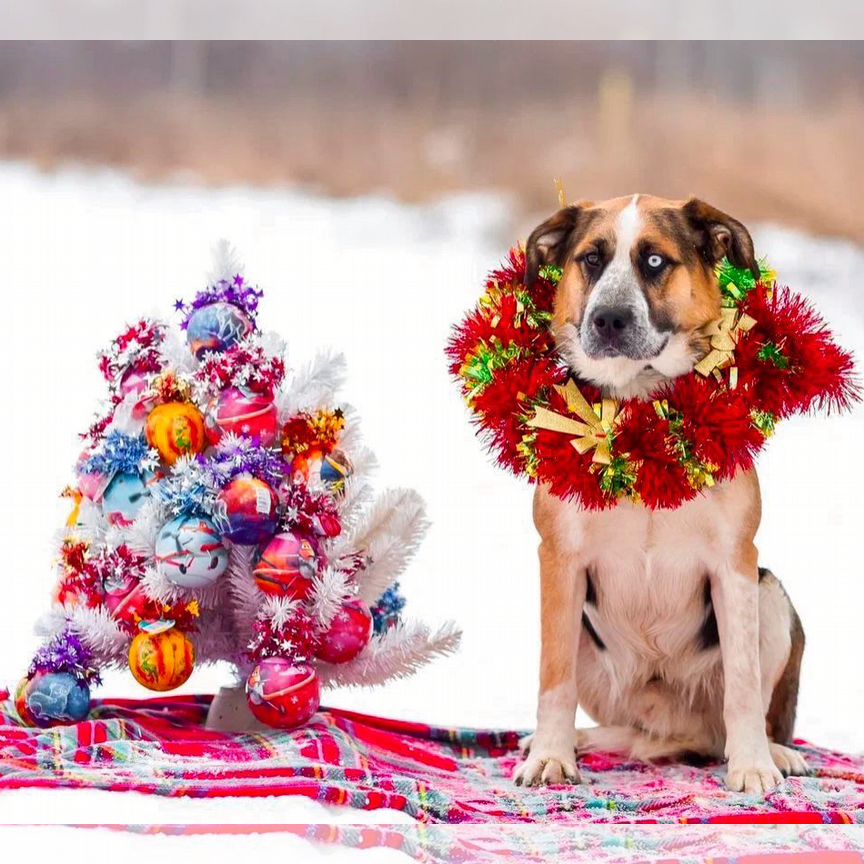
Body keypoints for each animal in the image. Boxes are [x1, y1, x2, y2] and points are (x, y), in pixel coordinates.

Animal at [516, 196, 812, 796]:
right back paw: (577, 741)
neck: (640, 414)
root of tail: (674, 729)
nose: (607, 319)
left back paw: (771, 751)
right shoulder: (559, 560)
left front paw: (752, 766)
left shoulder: (735, 563)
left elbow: (743, 685)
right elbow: (553, 679)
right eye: (591, 258)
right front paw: (552, 757)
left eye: (654, 260)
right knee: (622, 726)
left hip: (770, 595)